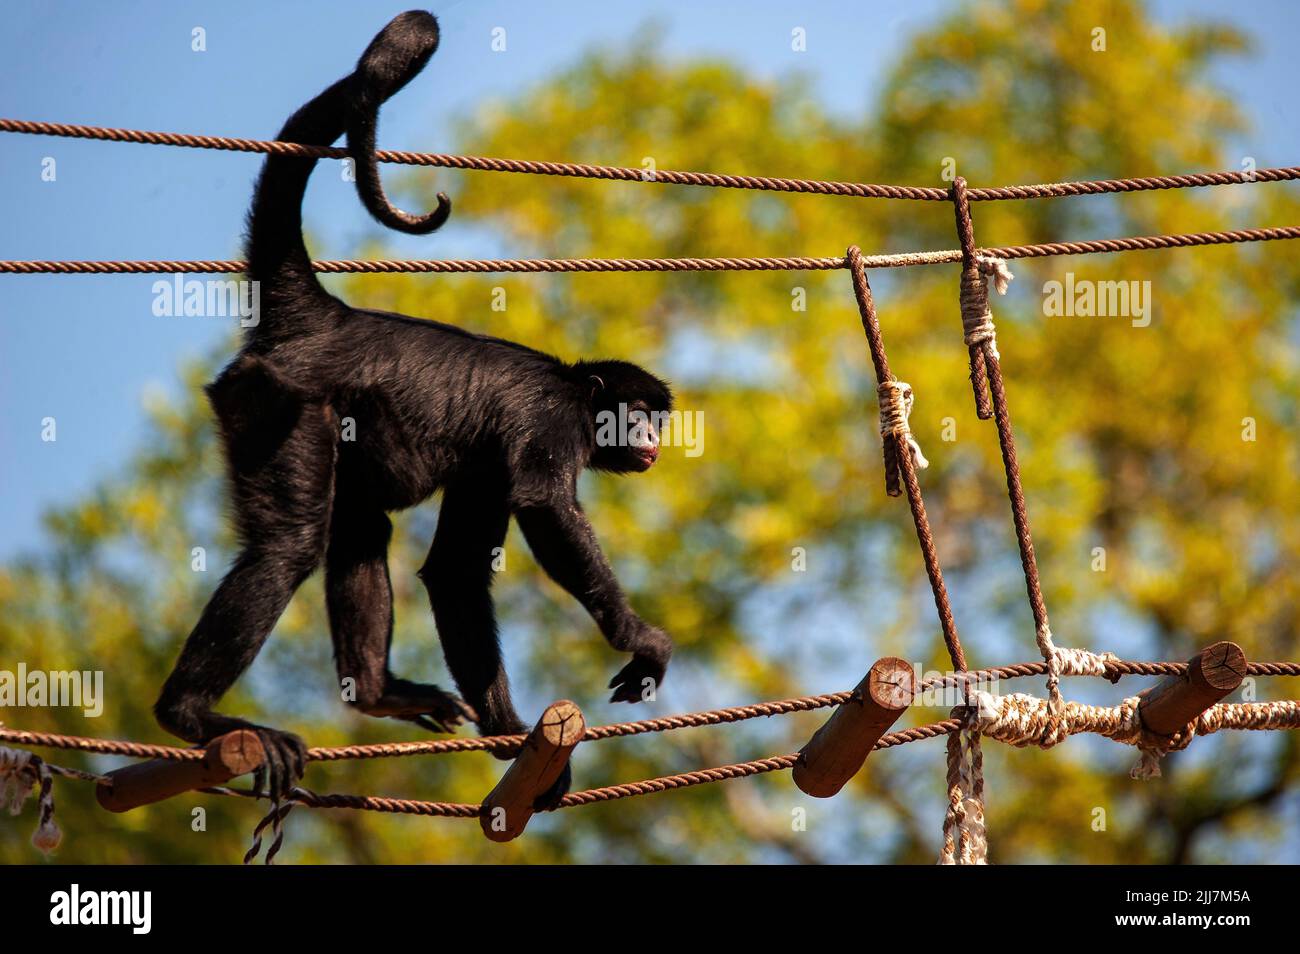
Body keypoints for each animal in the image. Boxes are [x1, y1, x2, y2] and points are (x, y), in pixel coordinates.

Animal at [153, 10, 675, 806]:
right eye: (638, 411)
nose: (651, 435)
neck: (572, 387)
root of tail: (324, 317)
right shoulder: (547, 421)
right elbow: (546, 507)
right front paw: (640, 641)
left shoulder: (488, 461)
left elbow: (455, 572)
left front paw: (509, 735)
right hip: (277, 402)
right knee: (289, 546)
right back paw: (190, 715)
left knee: (361, 525)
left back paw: (374, 693)